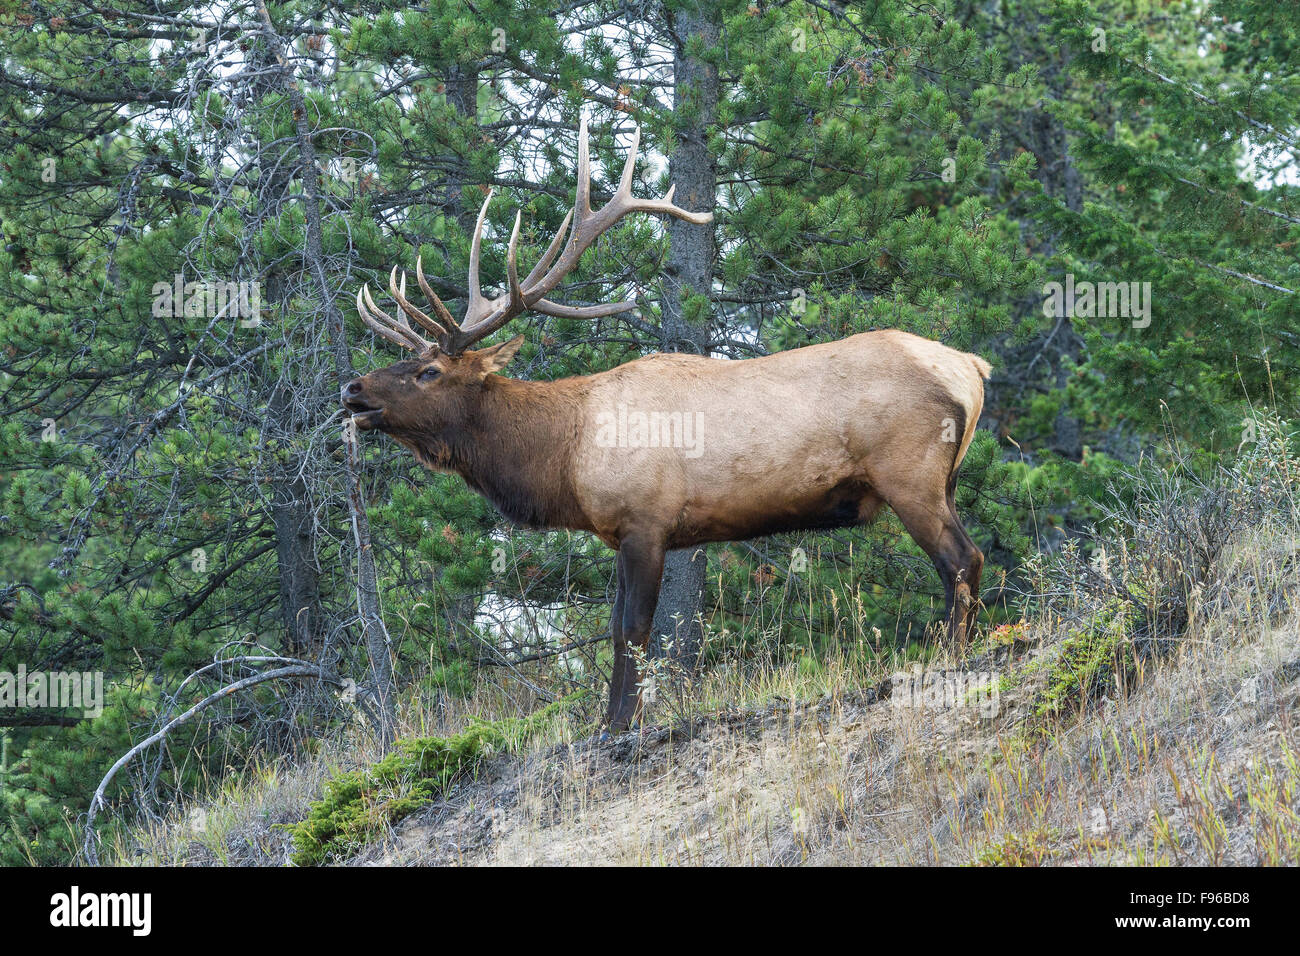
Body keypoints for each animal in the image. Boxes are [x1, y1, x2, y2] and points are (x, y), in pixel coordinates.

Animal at [341, 119, 992, 731]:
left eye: (427, 371)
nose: (352, 390)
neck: (566, 454)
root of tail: (972, 367)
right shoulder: (617, 530)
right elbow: (615, 628)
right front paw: (608, 721)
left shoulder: (646, 519)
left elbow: (634, 628)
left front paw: (623, 723)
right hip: (943, 478)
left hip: (909, 473)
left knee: (962, 558)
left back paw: (951, 657)